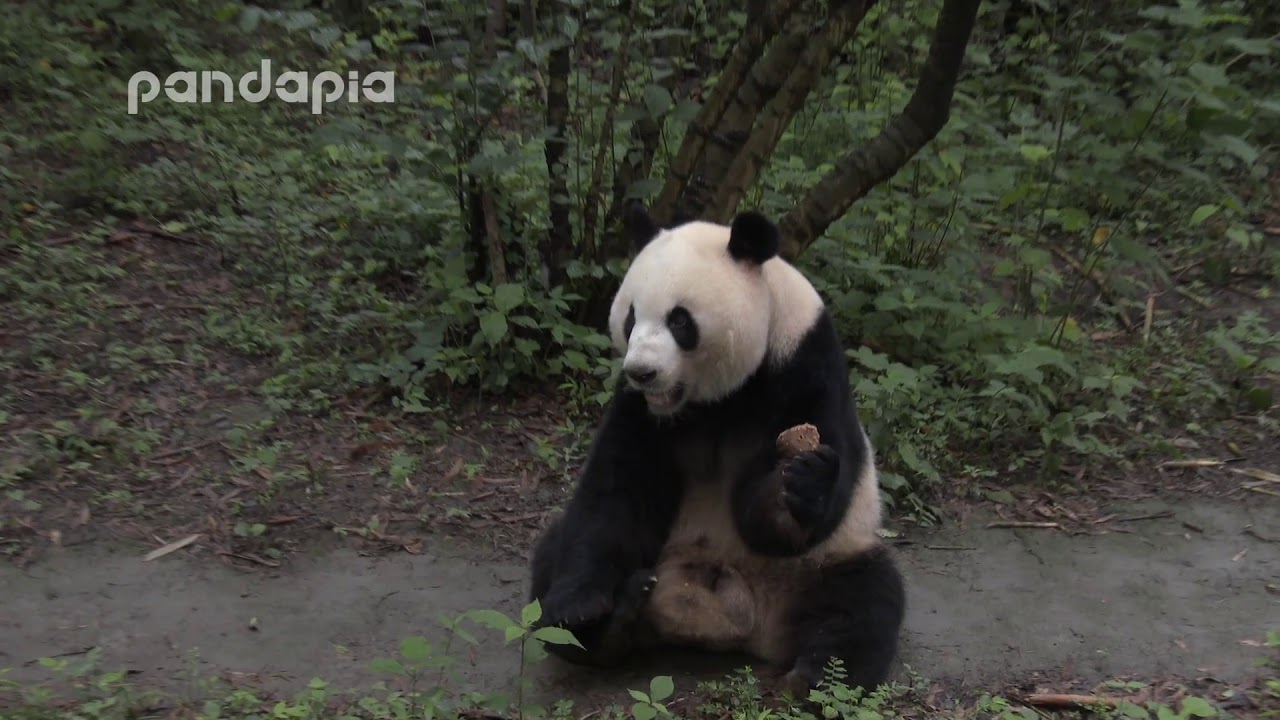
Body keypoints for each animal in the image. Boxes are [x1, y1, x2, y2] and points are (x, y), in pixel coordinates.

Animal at [528, 203, 905, 695]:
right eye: (631, 318)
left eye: (679, 321)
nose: (642, 372)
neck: (713, 399)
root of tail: (745, 622)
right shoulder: (639, 409)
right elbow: (615, 493)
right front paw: (578, 608)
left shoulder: (805, 365)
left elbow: (784, 511)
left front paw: (801, 481)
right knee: (551, 554)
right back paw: (611, 627)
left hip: (825, 562)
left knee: (864, 601)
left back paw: (815, 675)